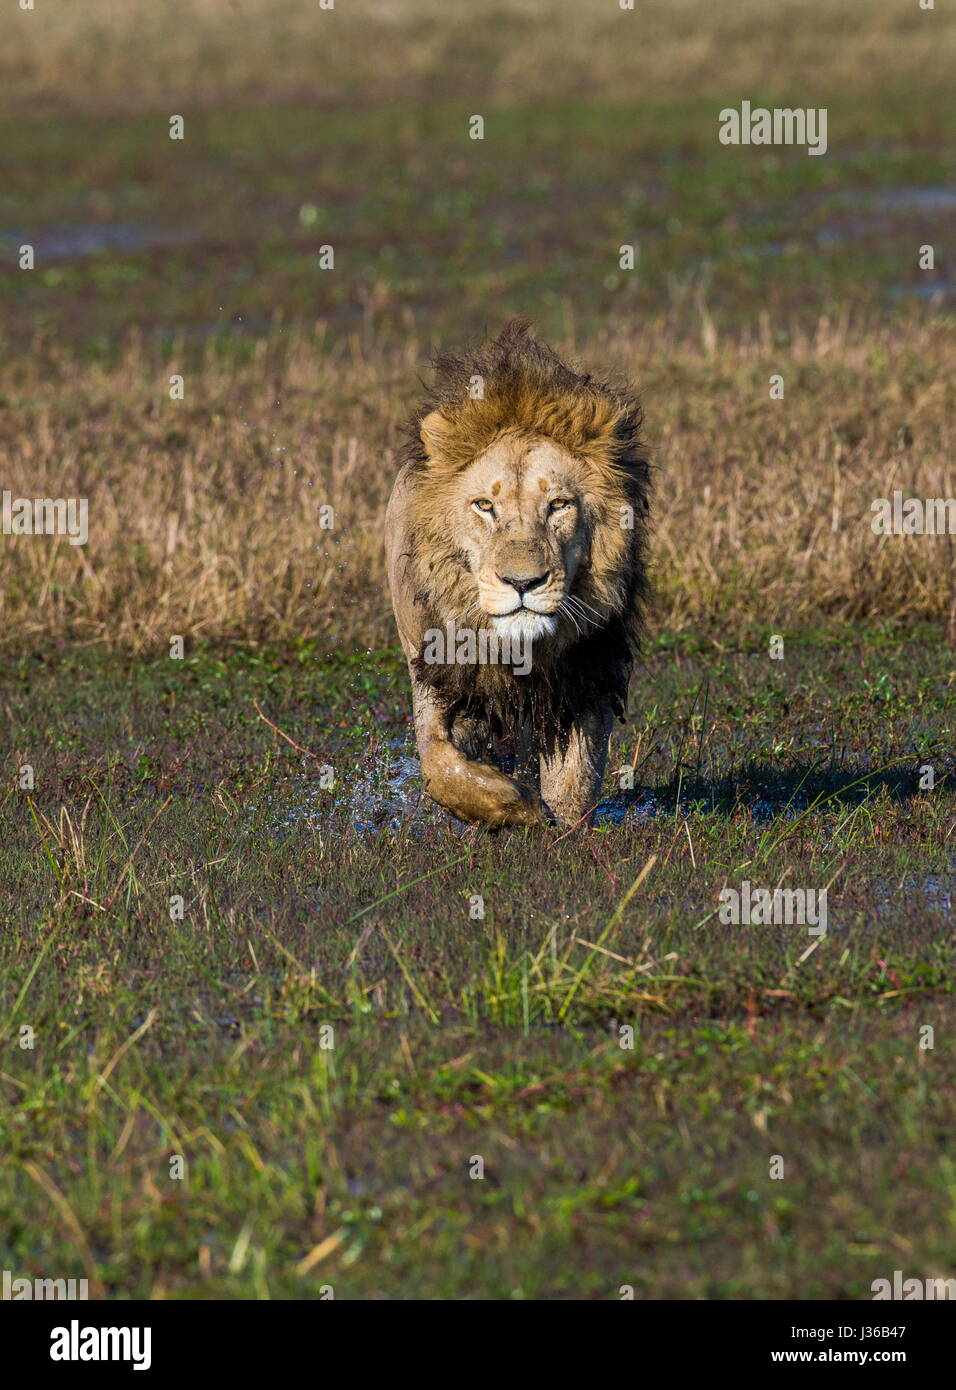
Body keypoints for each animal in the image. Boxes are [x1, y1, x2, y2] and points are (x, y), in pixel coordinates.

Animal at [385, 319, 651, 828]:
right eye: (485, 506)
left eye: (559, 505)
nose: (523, 583)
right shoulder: (439, 670)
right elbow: (439, 766)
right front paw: (519, 807)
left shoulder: (586, 675)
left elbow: (574, 781)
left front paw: (561, 828)